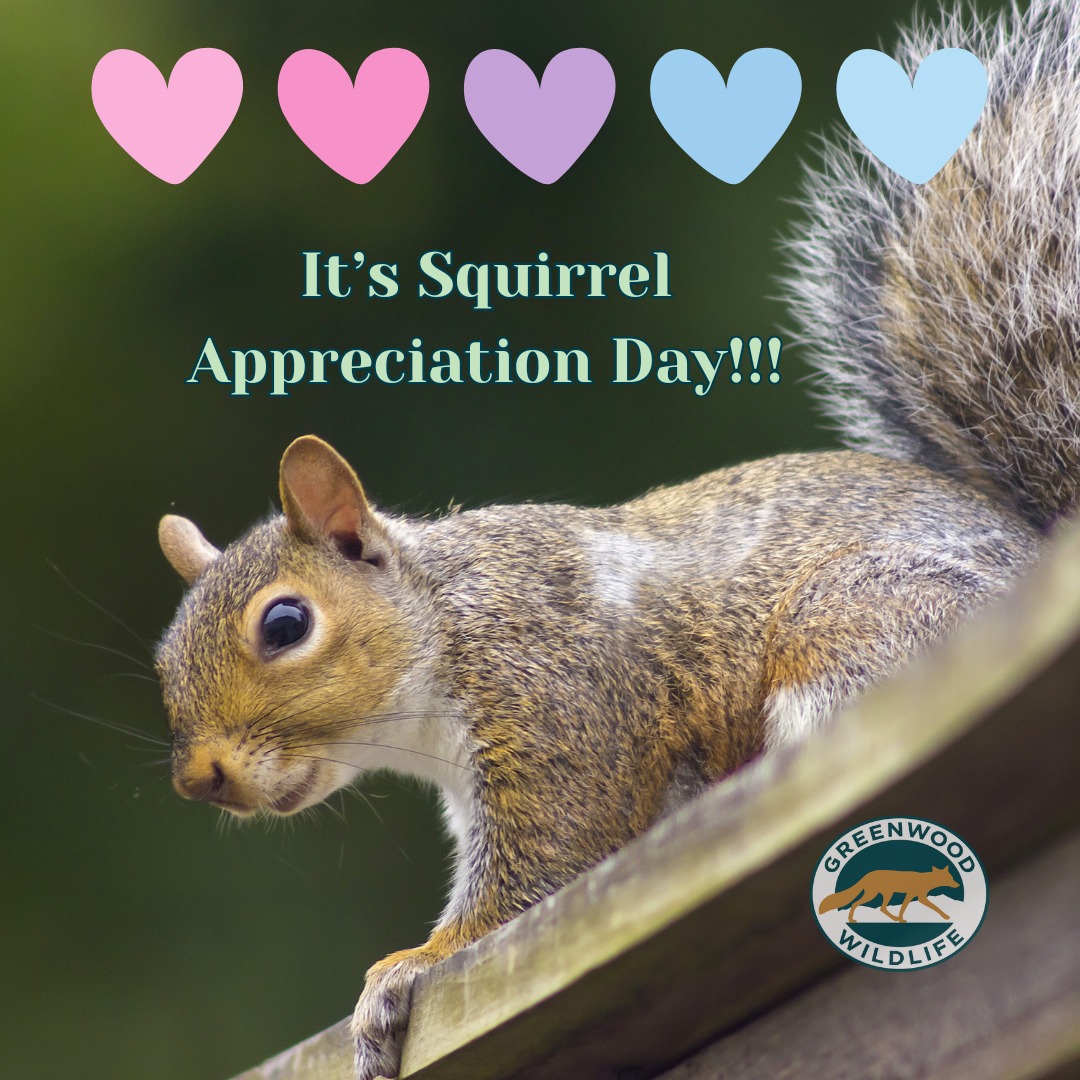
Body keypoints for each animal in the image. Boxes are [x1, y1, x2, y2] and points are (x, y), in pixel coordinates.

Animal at [155, 2, 1080, 1078]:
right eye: (163, 659)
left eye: (286, 625)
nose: (201, 780)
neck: (446, 624)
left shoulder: (557, 702)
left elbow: (544, 864)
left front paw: (404, 970)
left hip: (859, 622)